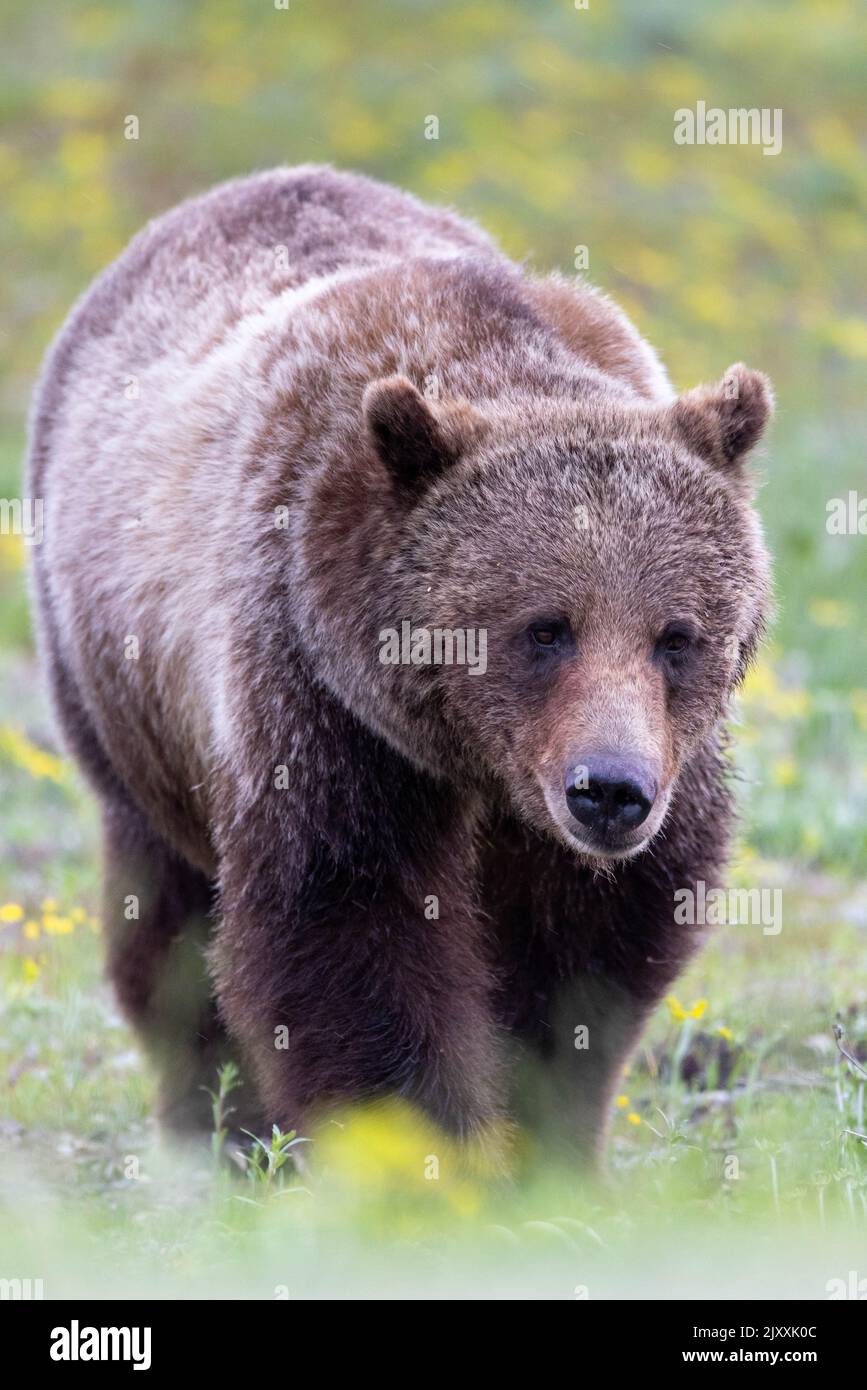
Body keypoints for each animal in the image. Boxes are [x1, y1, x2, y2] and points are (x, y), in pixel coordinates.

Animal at [27, 165, 772, 1164]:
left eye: (676, 635)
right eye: (545, 629)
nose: (608, 790)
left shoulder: (653, 777)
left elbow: (585, 954)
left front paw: (542, 1144)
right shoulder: (321, 699)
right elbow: (348, 931)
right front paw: (428, 1154)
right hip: (122, 696)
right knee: (169, 928)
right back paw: (220, 1131)